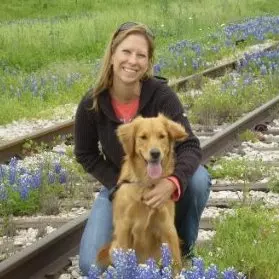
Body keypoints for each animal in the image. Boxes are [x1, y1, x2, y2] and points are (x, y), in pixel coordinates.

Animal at [98, 114, 188, 272]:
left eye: (162, 136)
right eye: (143, 137)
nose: (155, 153)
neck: (147, 184)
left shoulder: (167, 226)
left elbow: (176, 264)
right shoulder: (123, 227)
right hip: (114, 246)